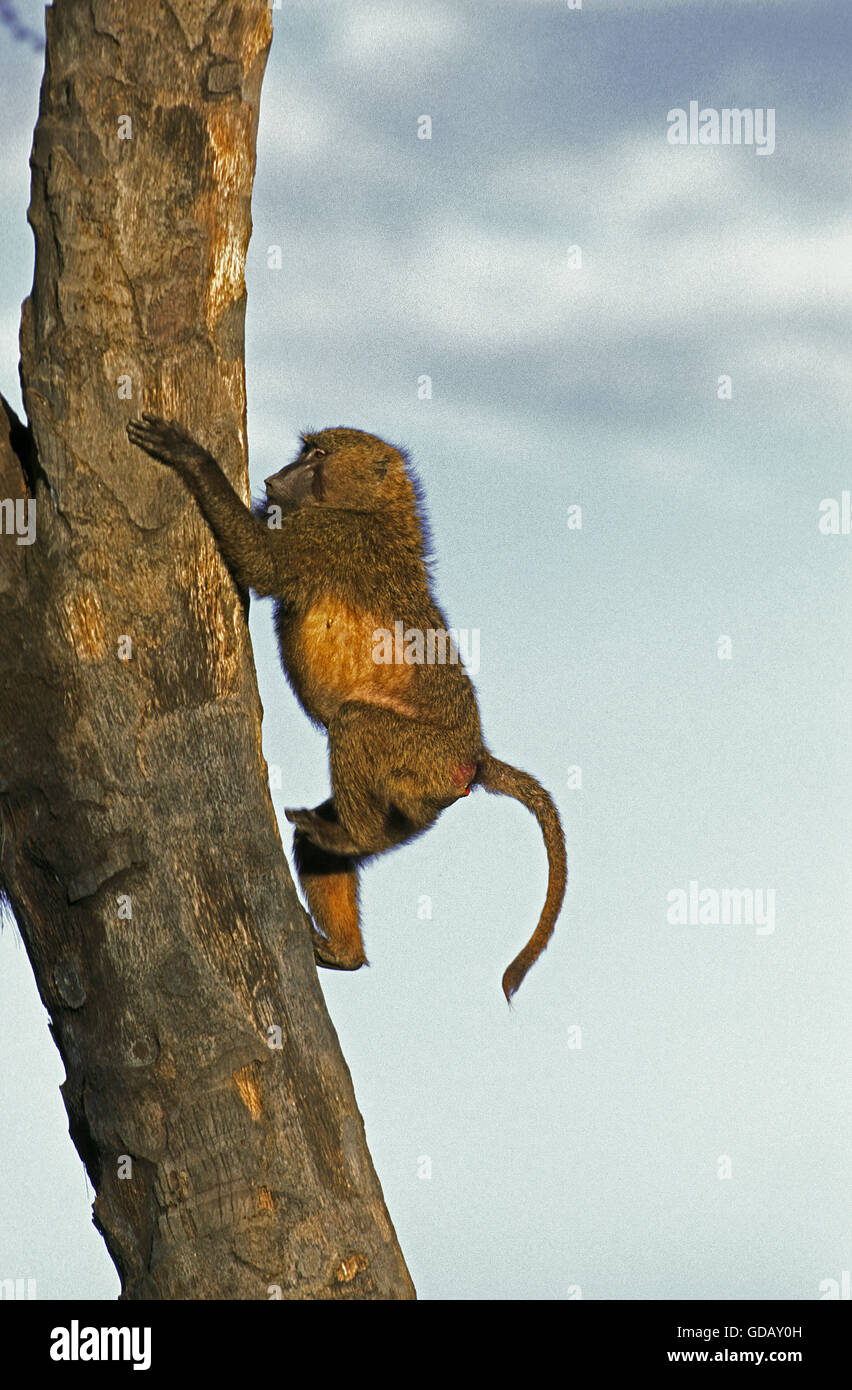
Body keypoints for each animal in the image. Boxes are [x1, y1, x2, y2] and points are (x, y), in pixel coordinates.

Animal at [126, 413, 567, 1000]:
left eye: (317, 455)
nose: (276, 477)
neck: (375, 512)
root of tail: (476, 755)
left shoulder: (332, 537)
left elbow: (264, 565)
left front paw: (189, 454)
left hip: (423, 759)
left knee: (354, 723)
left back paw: (350, 836)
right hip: (420, 802)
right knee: (327, 843)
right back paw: (345, 950)